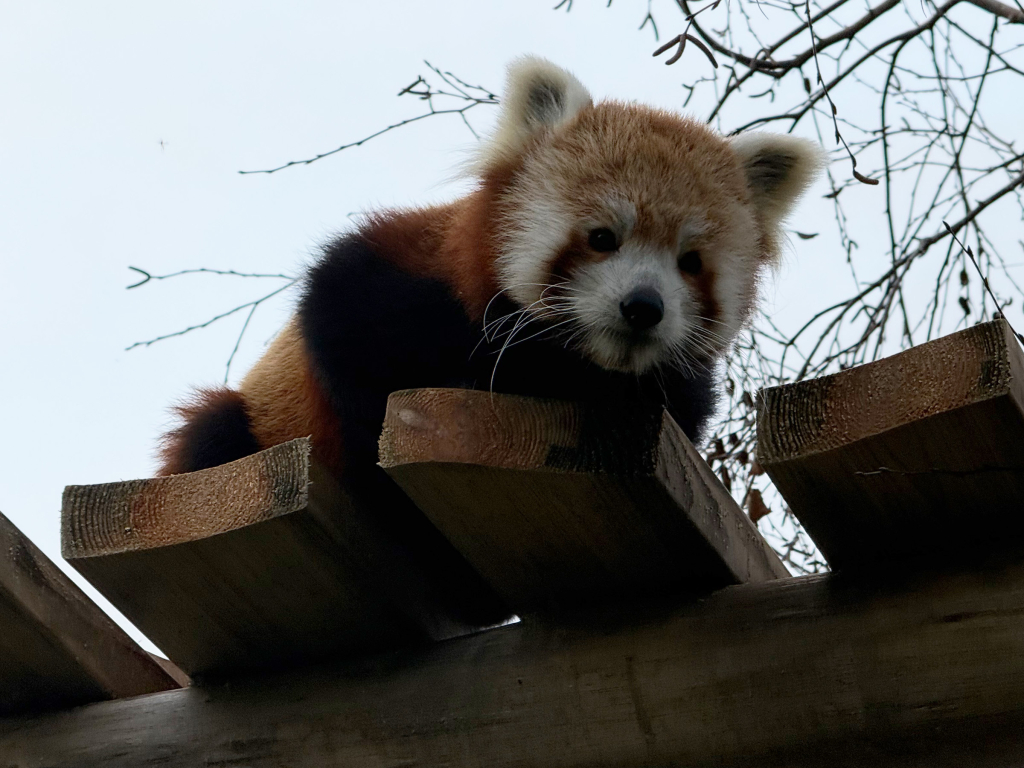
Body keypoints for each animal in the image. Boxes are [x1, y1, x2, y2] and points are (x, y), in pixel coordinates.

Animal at [158, 57, 822, 624]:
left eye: (690, 263)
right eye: (602, 238)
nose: (643, 307)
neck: (557, 364)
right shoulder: (396, 280)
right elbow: (341, 324)